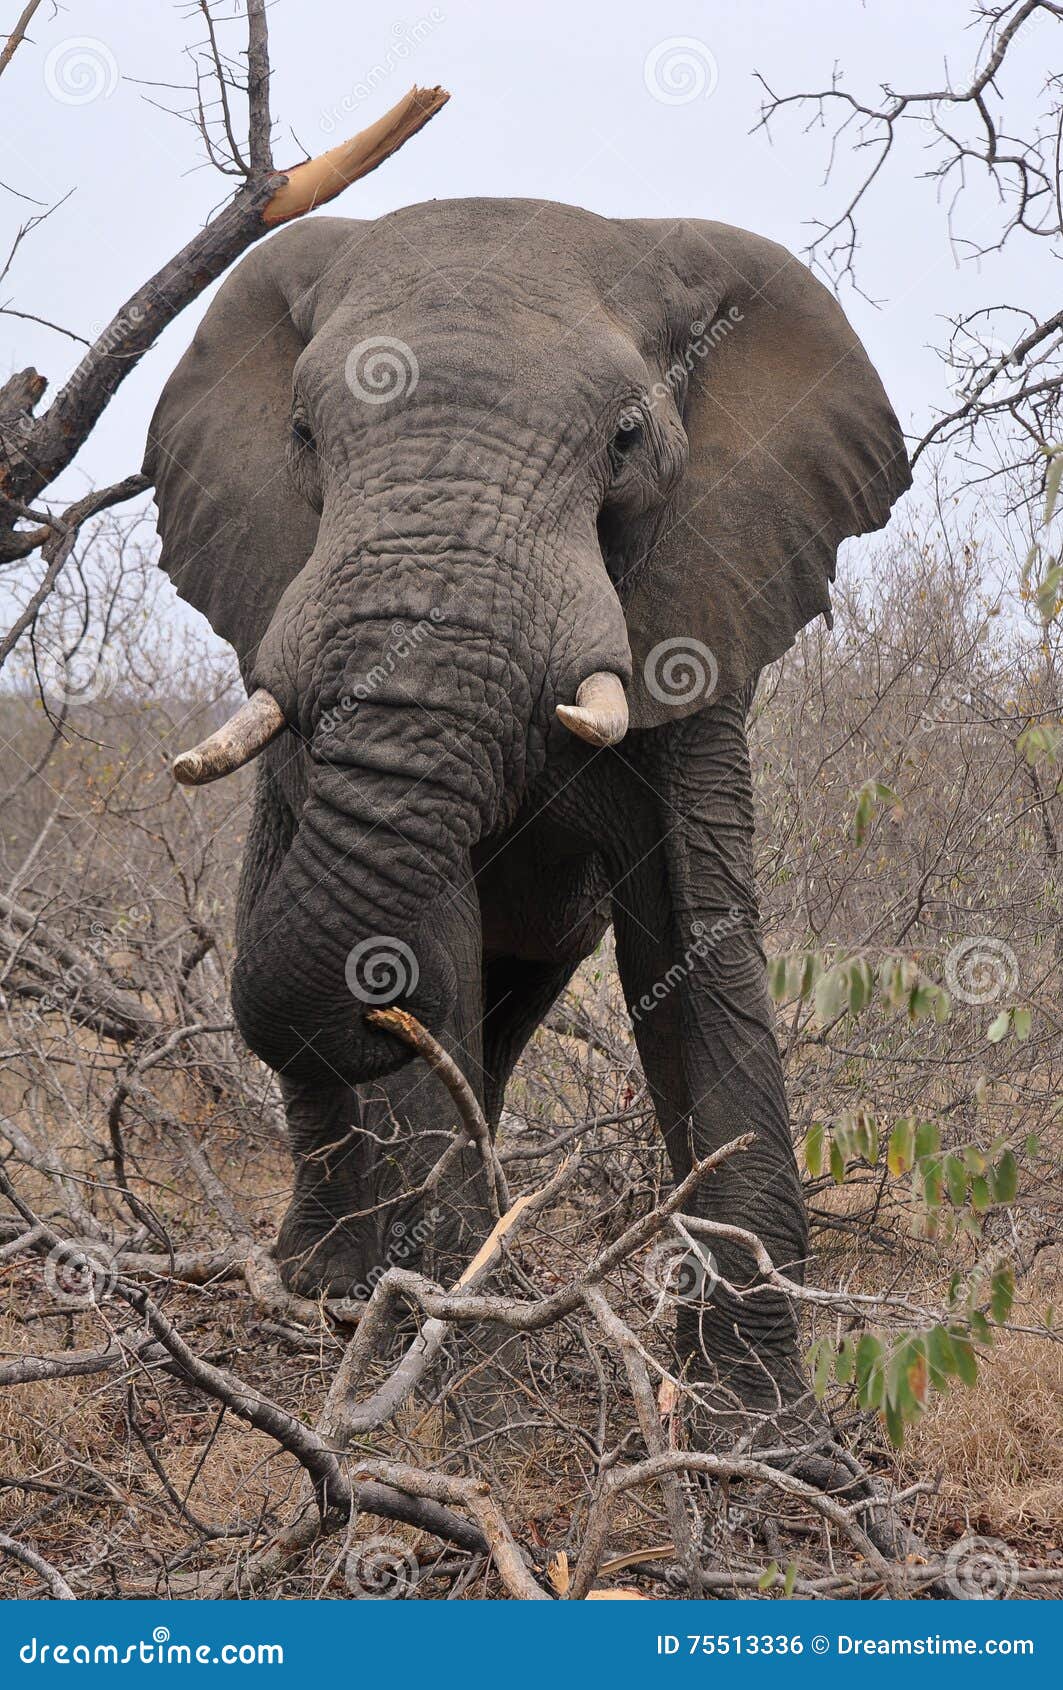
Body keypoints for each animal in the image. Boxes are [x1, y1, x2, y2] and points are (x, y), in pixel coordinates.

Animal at [145, 198, 909, 1420]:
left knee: (499, 1022)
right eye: (302, 434)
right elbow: (426, 939)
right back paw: (335, 1286)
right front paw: (461, 1389)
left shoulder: (702, 604)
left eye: (627, 440)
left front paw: (770, 1437)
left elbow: (698, 939)